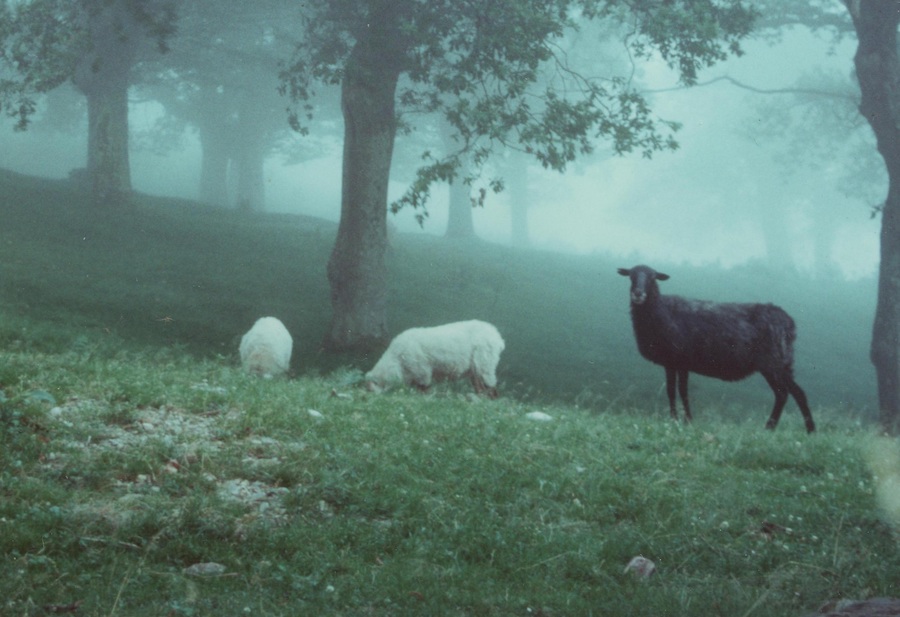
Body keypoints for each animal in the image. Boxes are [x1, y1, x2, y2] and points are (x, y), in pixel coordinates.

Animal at [365, 320, 505, 397]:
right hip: (476, 369)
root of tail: (497, 337)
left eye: (371, 388)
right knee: (479, 386)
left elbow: (424, 387)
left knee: (490, 386)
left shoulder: (422, 370)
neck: (396, 359)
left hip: (484, 361)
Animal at [617, 265, 815, 433]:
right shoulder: (672, 362)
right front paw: (676, 419)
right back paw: (809, 430)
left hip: (772, 362)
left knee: (782, 393)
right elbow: (672, 391)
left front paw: (685, 420)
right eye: (631, 276)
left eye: (653, 278)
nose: (638, 293)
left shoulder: (680, 359)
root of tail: (789, 323)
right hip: (784, 362)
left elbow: (682, 391)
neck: (662, 312)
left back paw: (770, 427)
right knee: (798, 392)